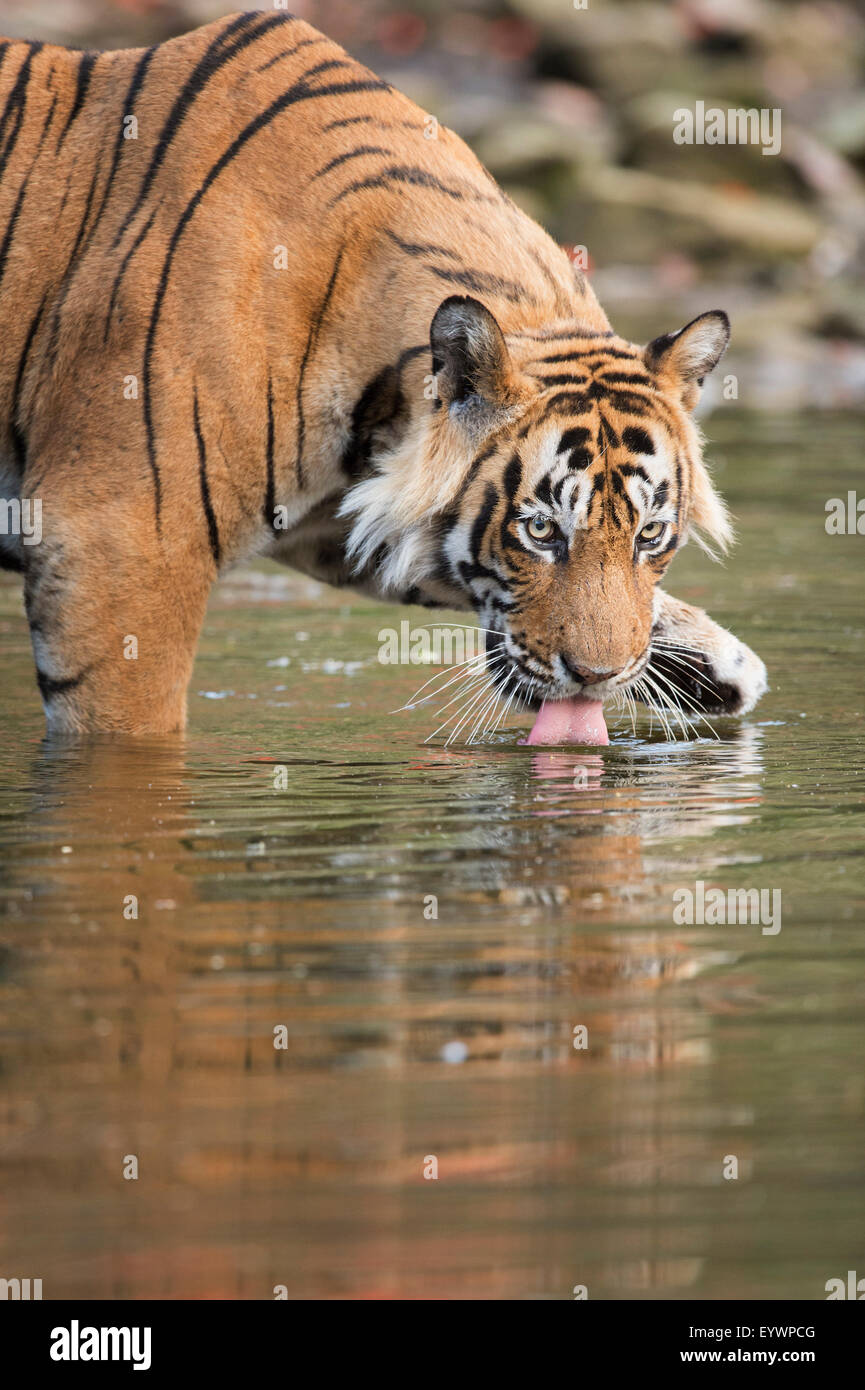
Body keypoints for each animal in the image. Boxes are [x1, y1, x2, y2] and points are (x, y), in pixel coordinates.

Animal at [0, 10, 767, 739]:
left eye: (649, 535)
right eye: (542, 531)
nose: (598, 678)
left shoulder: (342, 519)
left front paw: (717, 665)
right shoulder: (117, 544)